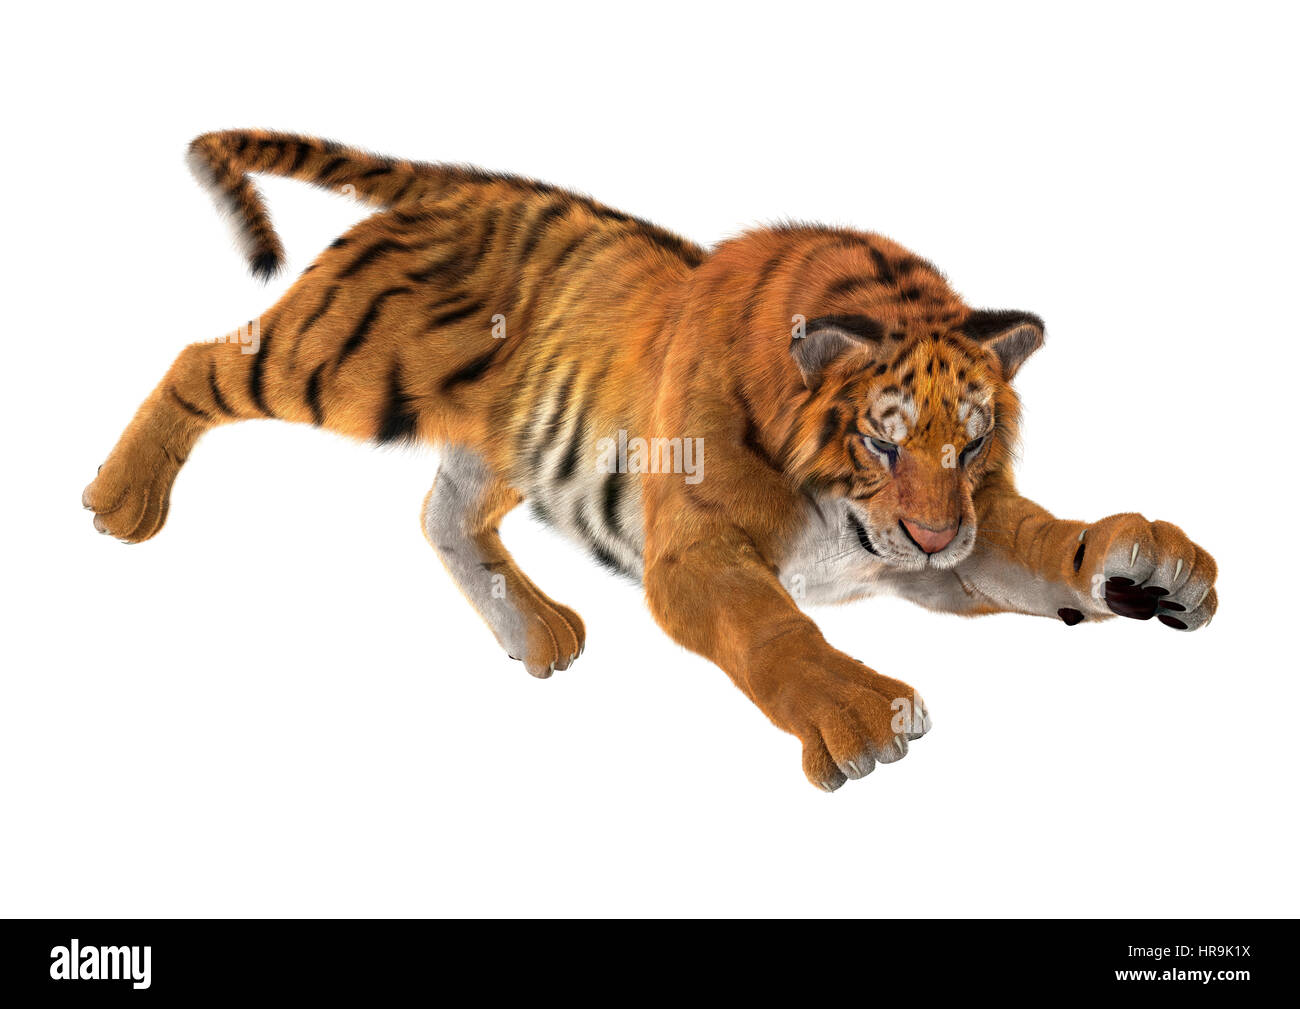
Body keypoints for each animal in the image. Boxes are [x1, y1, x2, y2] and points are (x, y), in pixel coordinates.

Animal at [83, 130, 1219, 792]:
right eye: (881, 439)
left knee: (443, 514)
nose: (936, 531)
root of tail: (454, 187)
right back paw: (121, 497)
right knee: (203, 360)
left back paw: (536, 634)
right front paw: (858, 714)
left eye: (972, 440)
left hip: (505, 440)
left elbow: (1040, 543)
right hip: (343, 363)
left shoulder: (944, 556)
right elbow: (773, 629)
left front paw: (1149, 563)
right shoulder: (700, 553)